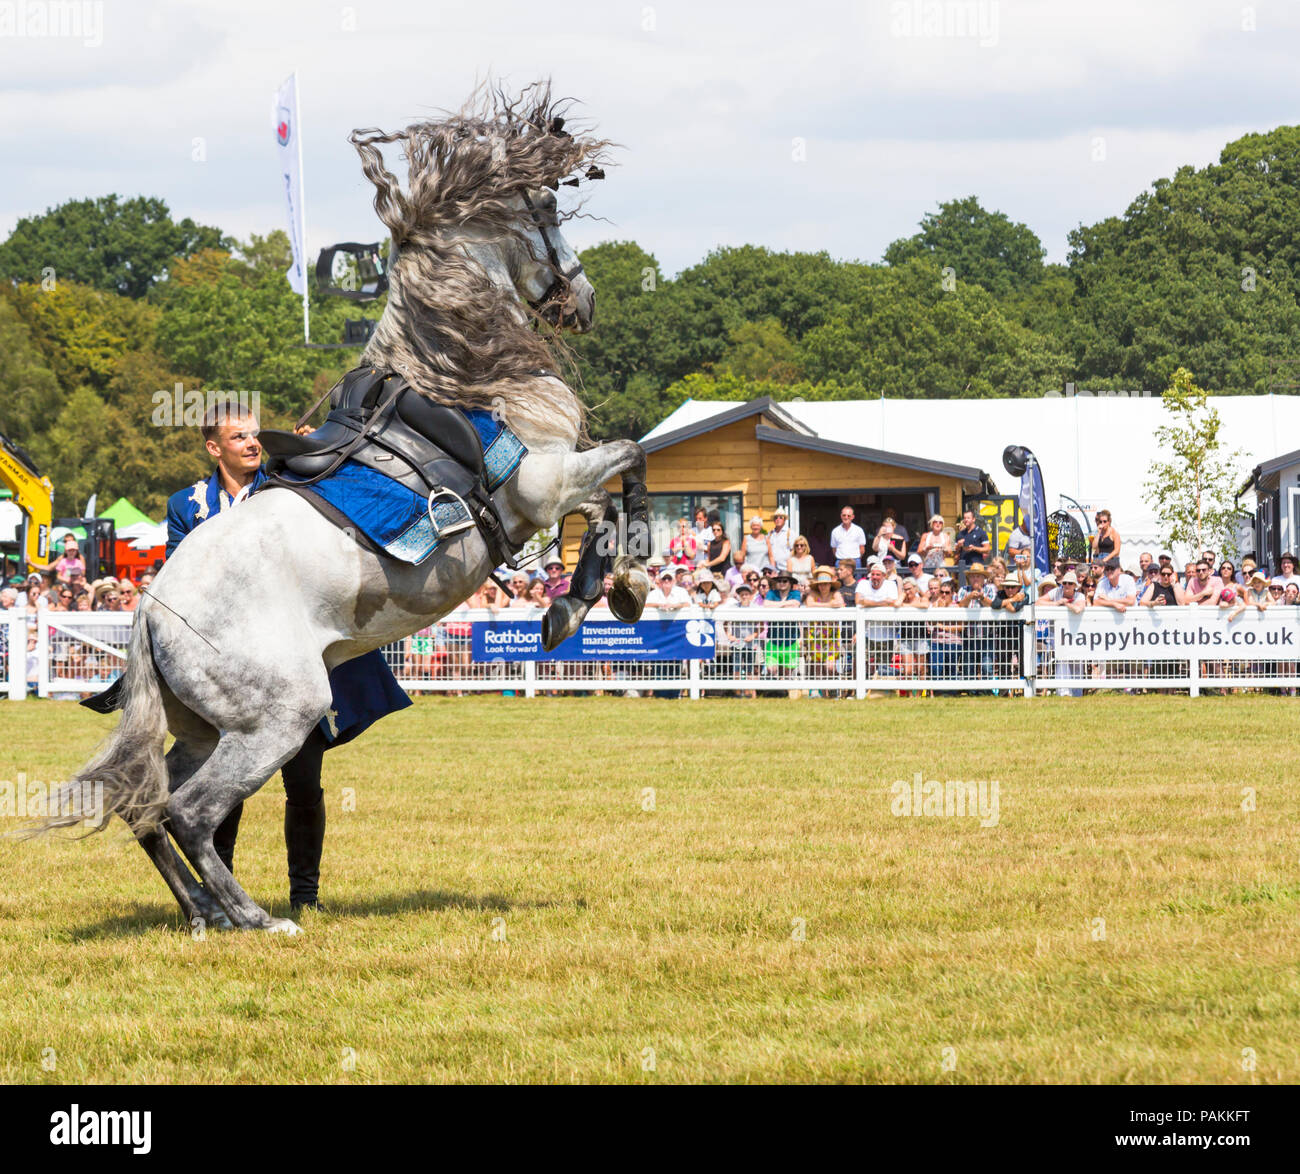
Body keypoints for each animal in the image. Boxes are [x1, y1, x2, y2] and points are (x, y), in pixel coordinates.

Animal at [28, 83, 652, 935]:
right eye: (550, 206)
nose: (582, 300)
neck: (453, 377)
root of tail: (151, 614)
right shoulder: (542, 485)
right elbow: (628, 469)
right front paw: (603, 594)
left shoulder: (548, 493)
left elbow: (608, 497)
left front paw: (594, 592)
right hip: (280, 717)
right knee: (191, 812)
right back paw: (257, 918)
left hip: (207, 728)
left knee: (148, 808)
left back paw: (203, 913)